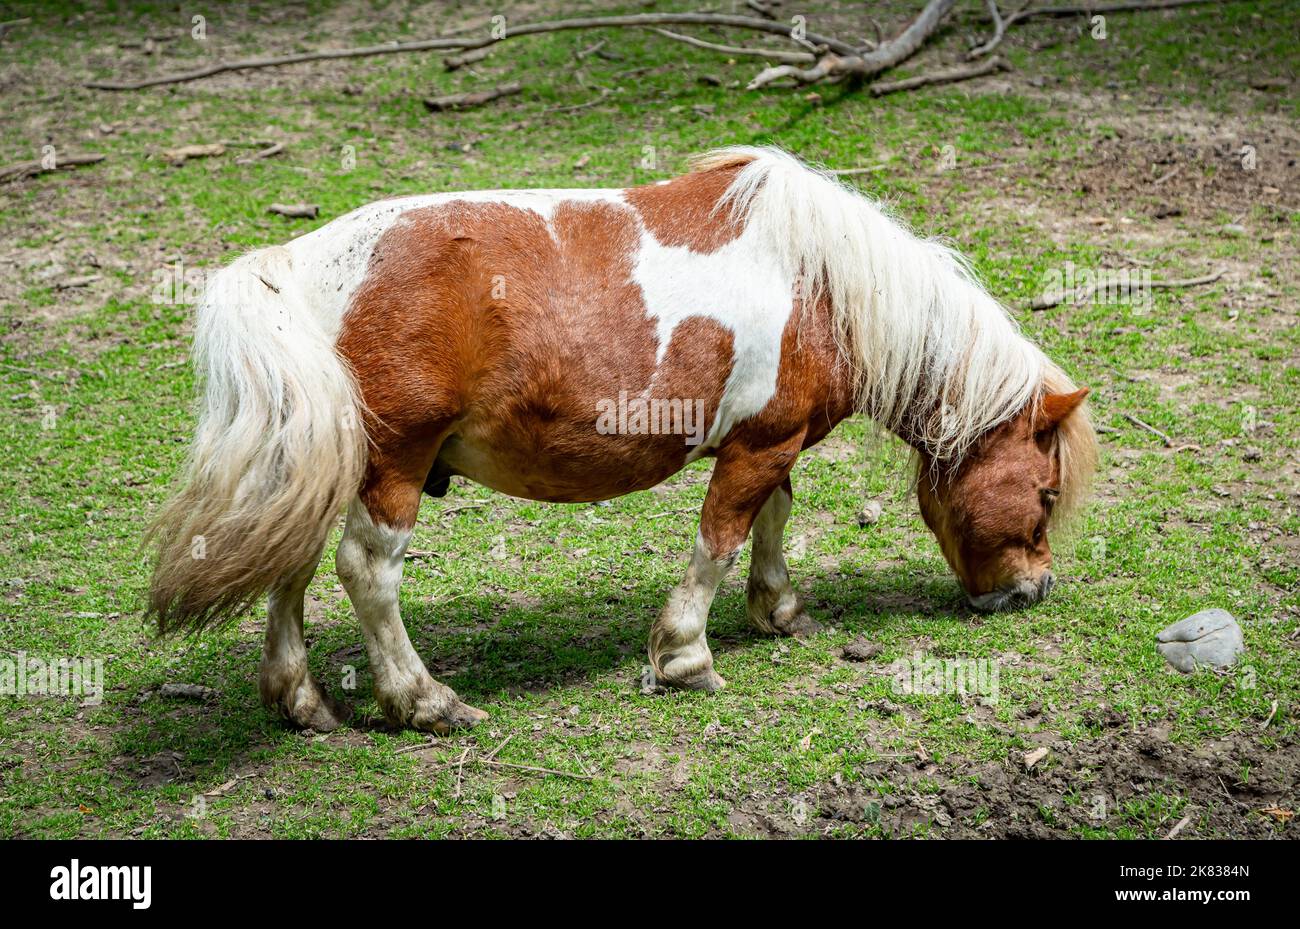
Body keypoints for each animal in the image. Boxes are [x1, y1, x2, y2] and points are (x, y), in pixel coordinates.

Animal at [146, 146, 1097, 734]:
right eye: (1046, 493)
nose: (1032, 591)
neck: (823, 283)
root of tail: (294, 265)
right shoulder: (757, 445)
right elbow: (719, 542)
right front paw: (686, 654)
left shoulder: (773, 441)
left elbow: (773, 519)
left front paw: (780, 609)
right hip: (395, 466)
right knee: (365, 573)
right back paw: (423, 700)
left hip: (335, 461)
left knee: (295, 565)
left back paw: (300, 699)